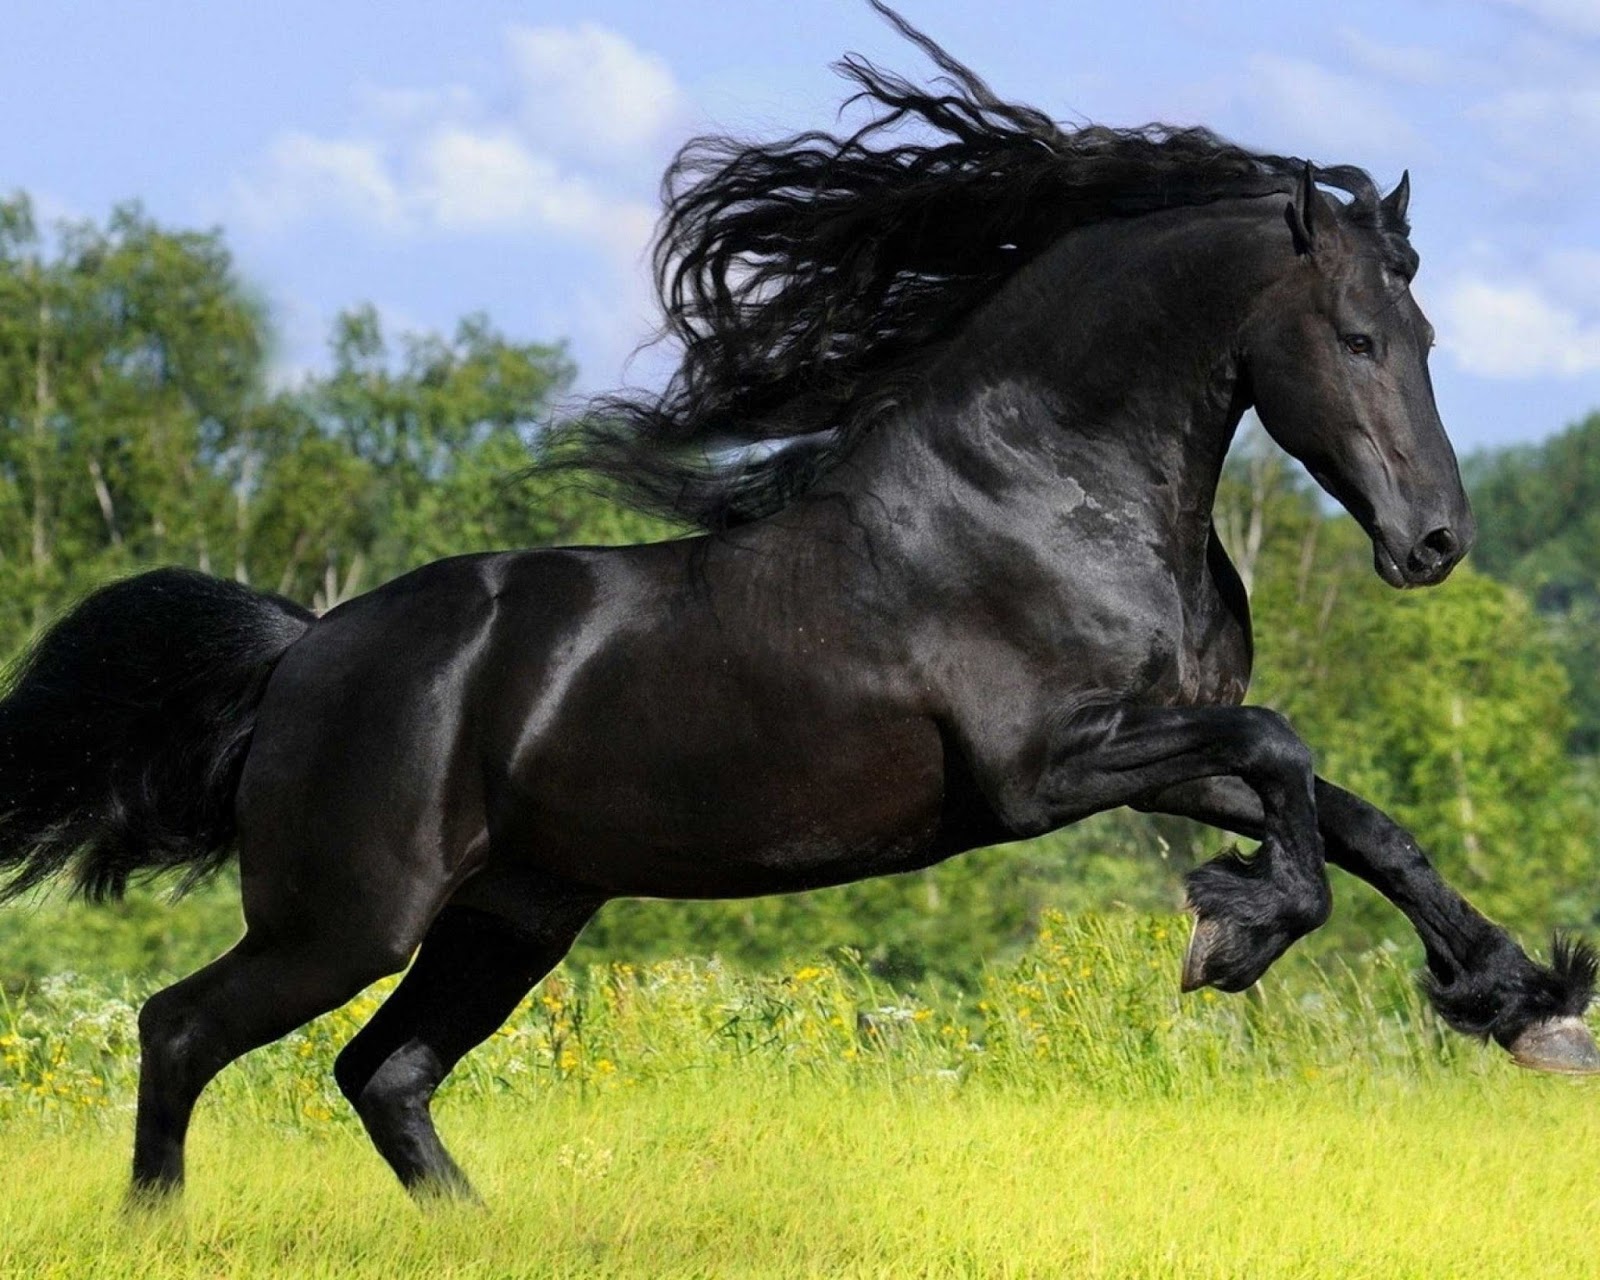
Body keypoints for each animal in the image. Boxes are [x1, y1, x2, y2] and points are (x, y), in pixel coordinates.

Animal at [1, 4, 1595, 1205]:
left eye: (1430, 332)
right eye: (1359, 334)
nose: (1435, 541)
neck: (1043, 490)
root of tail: (303, 650)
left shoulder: (1151, 744)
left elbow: (1355, 813)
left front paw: (1521, 1004)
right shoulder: (1044, 771)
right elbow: (1287, 757)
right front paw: (1235, 934)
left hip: (511, 916)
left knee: (378, 1075)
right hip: (347, 917)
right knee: (181, 1029)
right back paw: (159, 1227)